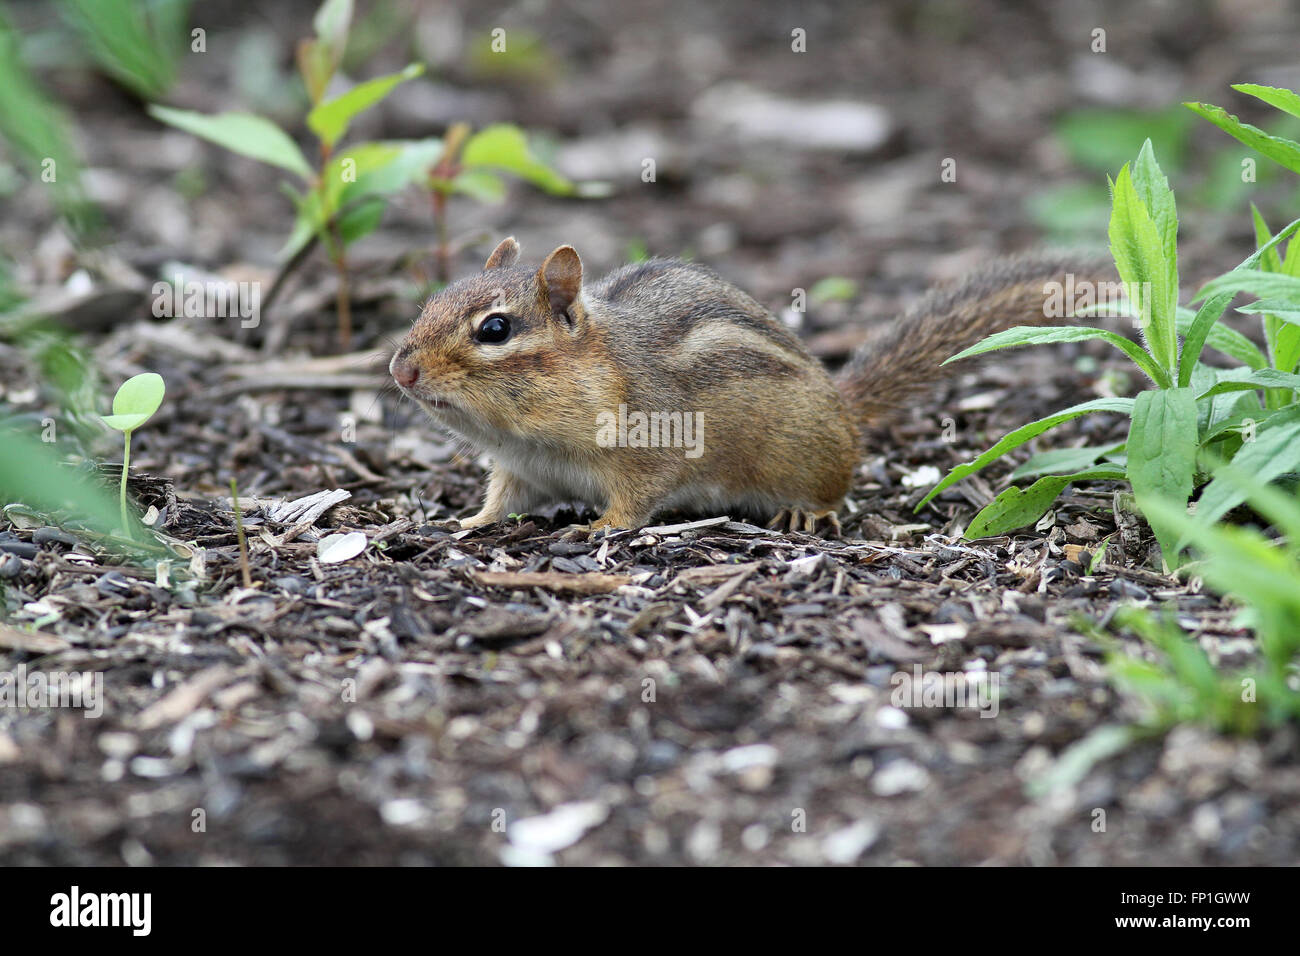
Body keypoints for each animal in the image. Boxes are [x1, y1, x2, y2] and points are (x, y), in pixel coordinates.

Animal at [390, 237, 1110, 534]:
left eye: (495, 329)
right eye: (433, 301)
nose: (401, 368)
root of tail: (843, 407)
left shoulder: (651, 444)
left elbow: (637, 499)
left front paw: (598, 526)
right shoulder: (517, 467)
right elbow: (500, 501)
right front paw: (465, 520)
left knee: (833, 488)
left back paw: (805, 512)